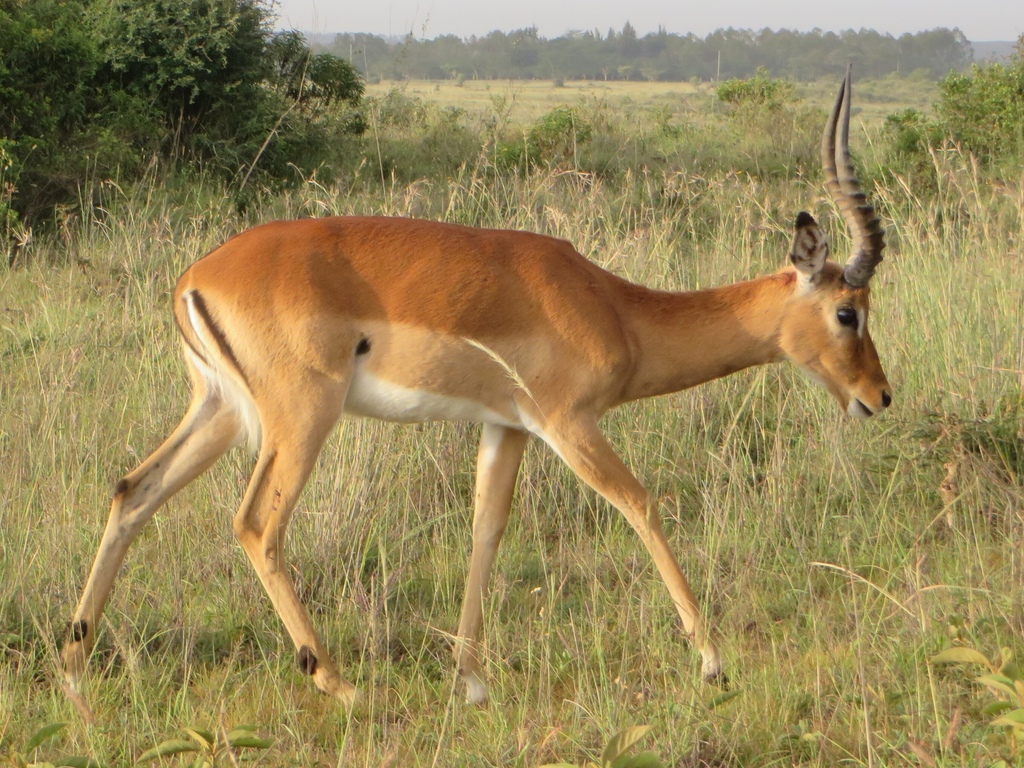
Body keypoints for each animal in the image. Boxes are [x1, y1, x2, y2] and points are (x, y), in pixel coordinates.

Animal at [63, 70, 889, 708]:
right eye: (847, 311)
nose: (879, 397)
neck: (616, 307)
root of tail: (195, 277)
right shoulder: (567, 422)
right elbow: (640, 502)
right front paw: (712, 662)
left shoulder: (509, 426)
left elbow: (485, 529)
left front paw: (471, 680)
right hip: (301, 416)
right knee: (256, 523)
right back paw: (339, 681)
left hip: (222, 410)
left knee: (133, 490)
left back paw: (73, 667)